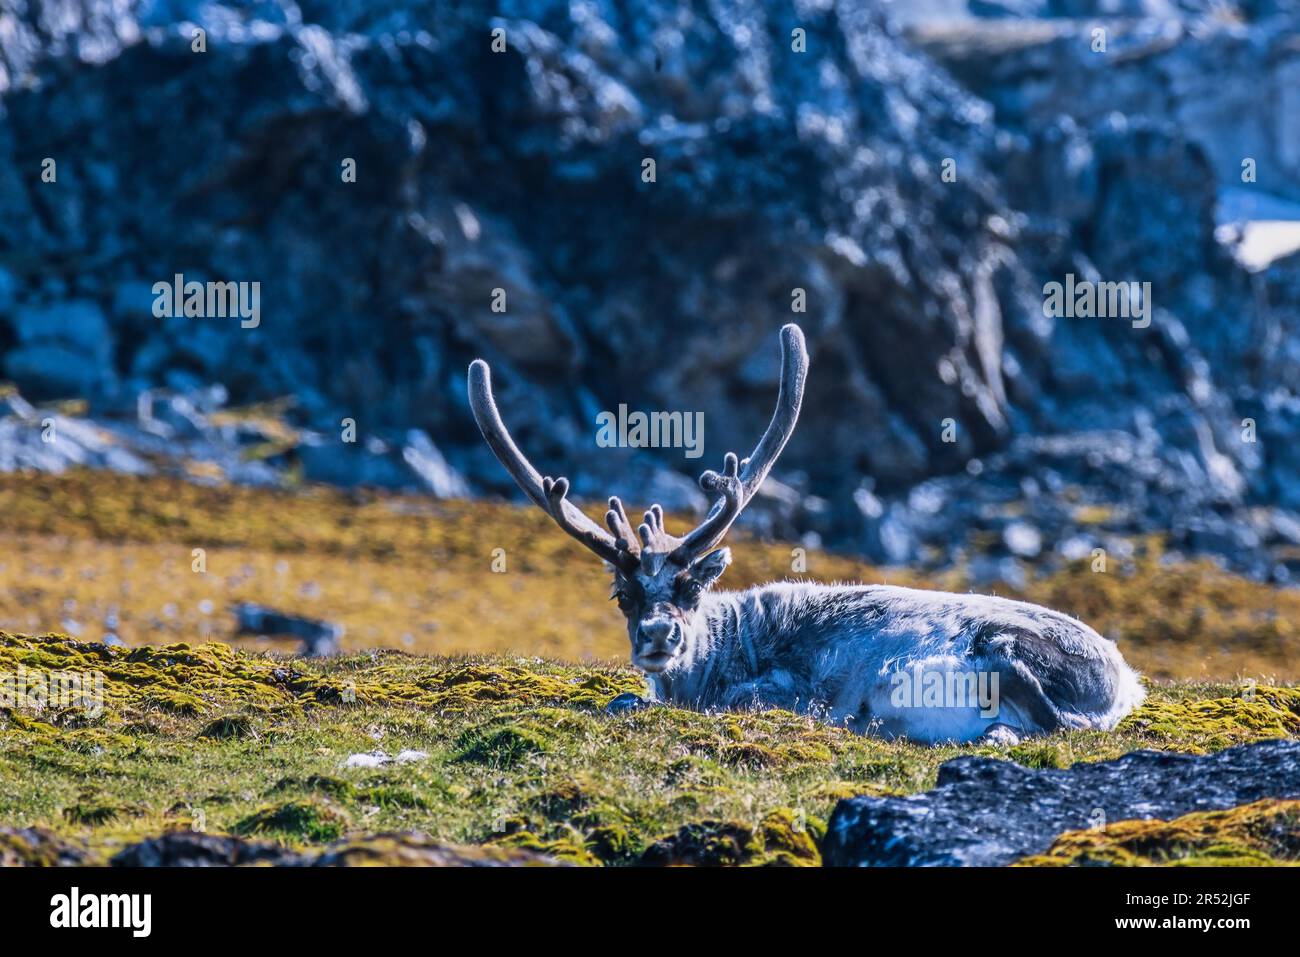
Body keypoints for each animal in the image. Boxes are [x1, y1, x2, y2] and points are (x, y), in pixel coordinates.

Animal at [467, 324, 1145, 744]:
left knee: (1049, 724)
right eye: (622, 595)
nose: (659, 635)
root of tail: (1124, 685)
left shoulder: (777, 686)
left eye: (690, 589)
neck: (724, 647)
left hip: (1006, 648)